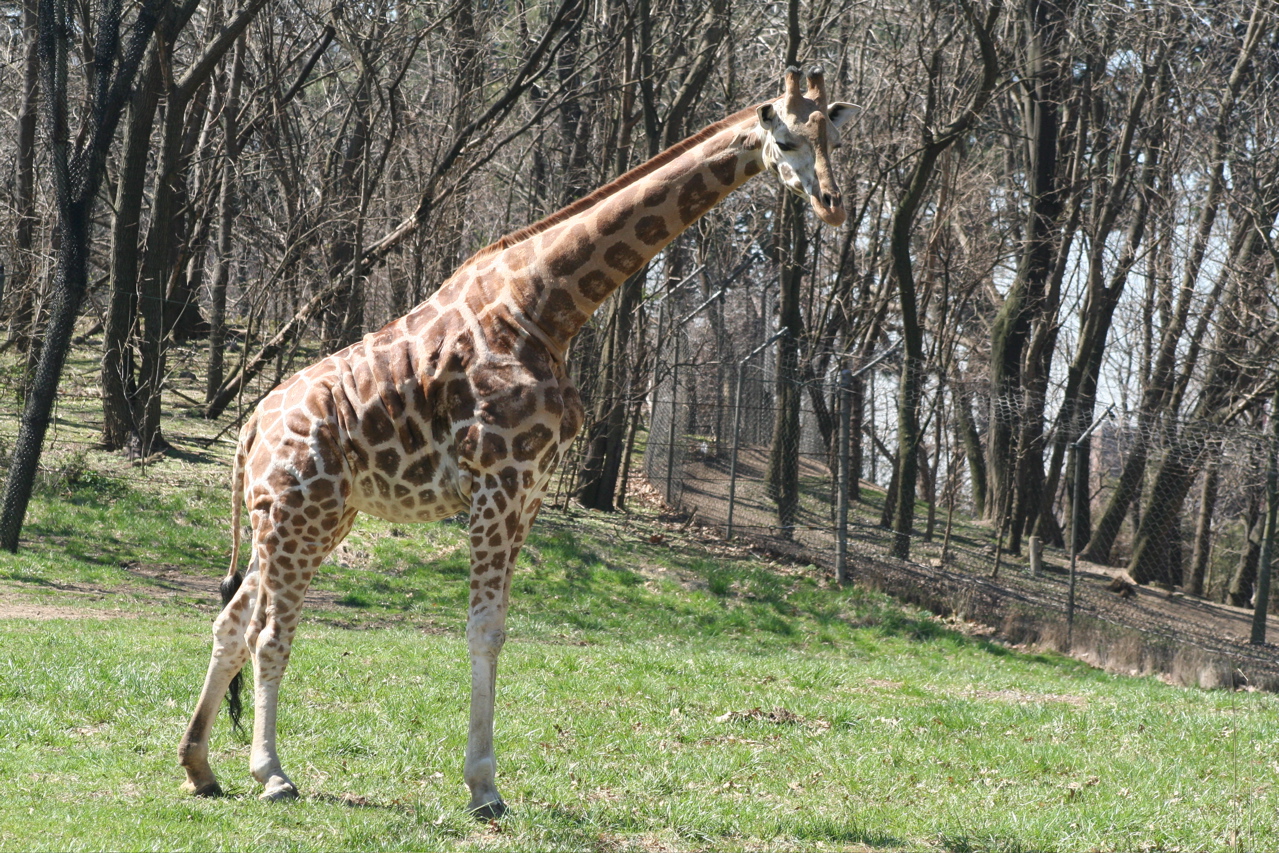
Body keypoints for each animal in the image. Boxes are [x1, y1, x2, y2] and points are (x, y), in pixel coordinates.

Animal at [178, 66, 858, 815]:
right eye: (785, 140)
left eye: (836, 137)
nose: (832, 205)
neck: (547, 306)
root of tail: (250, 426)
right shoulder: (499, 481)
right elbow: (484, 630)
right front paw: (483, 787)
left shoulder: (529, 491)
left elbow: (499, 628)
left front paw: (483, 781)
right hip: (299, 514)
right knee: (270, 632)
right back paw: (271, 772)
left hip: (310, 518)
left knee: (231, 621)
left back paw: (199, 767)